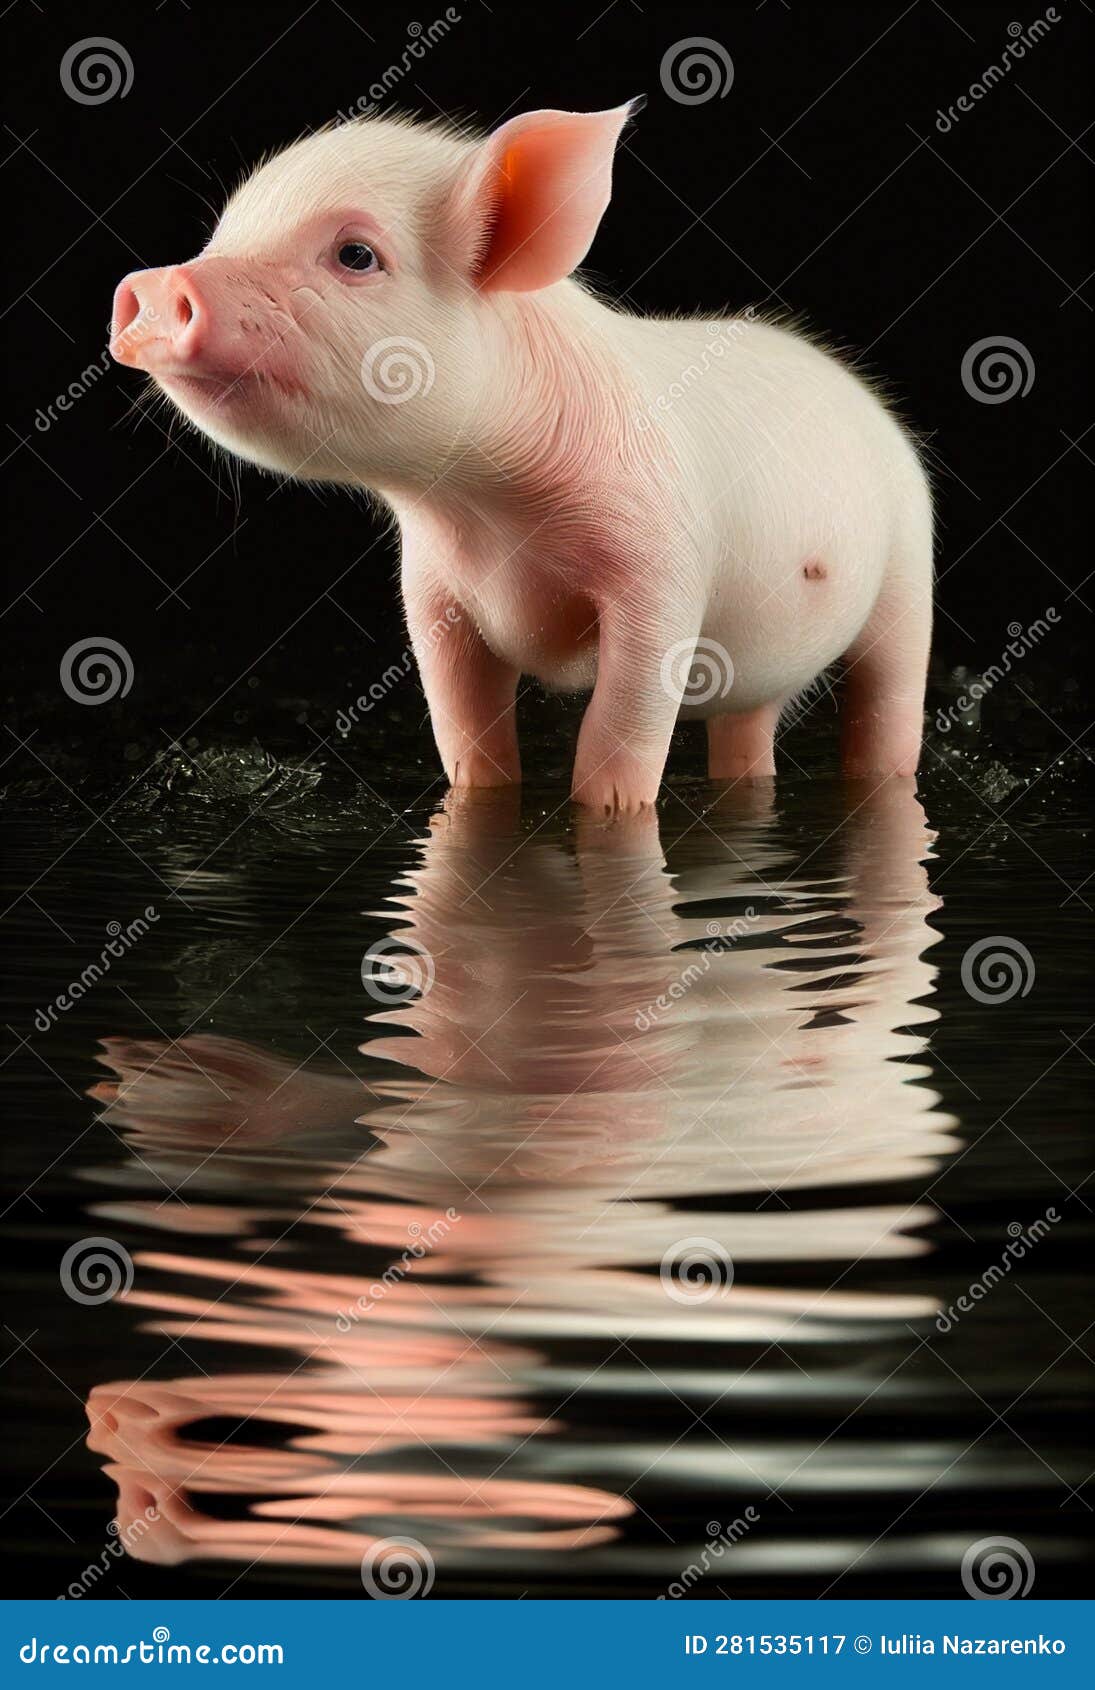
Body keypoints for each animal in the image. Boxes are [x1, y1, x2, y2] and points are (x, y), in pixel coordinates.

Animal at [110, 102, 933, 813]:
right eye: (224, 233)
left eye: (355, 255)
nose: (152, 284)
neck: (487, 512)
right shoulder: (430, 586)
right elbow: (462, 724)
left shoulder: (663, 562)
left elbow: (621, 724)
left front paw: (612, 810)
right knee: (748, 738)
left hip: (908, 563)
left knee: (890, 696)